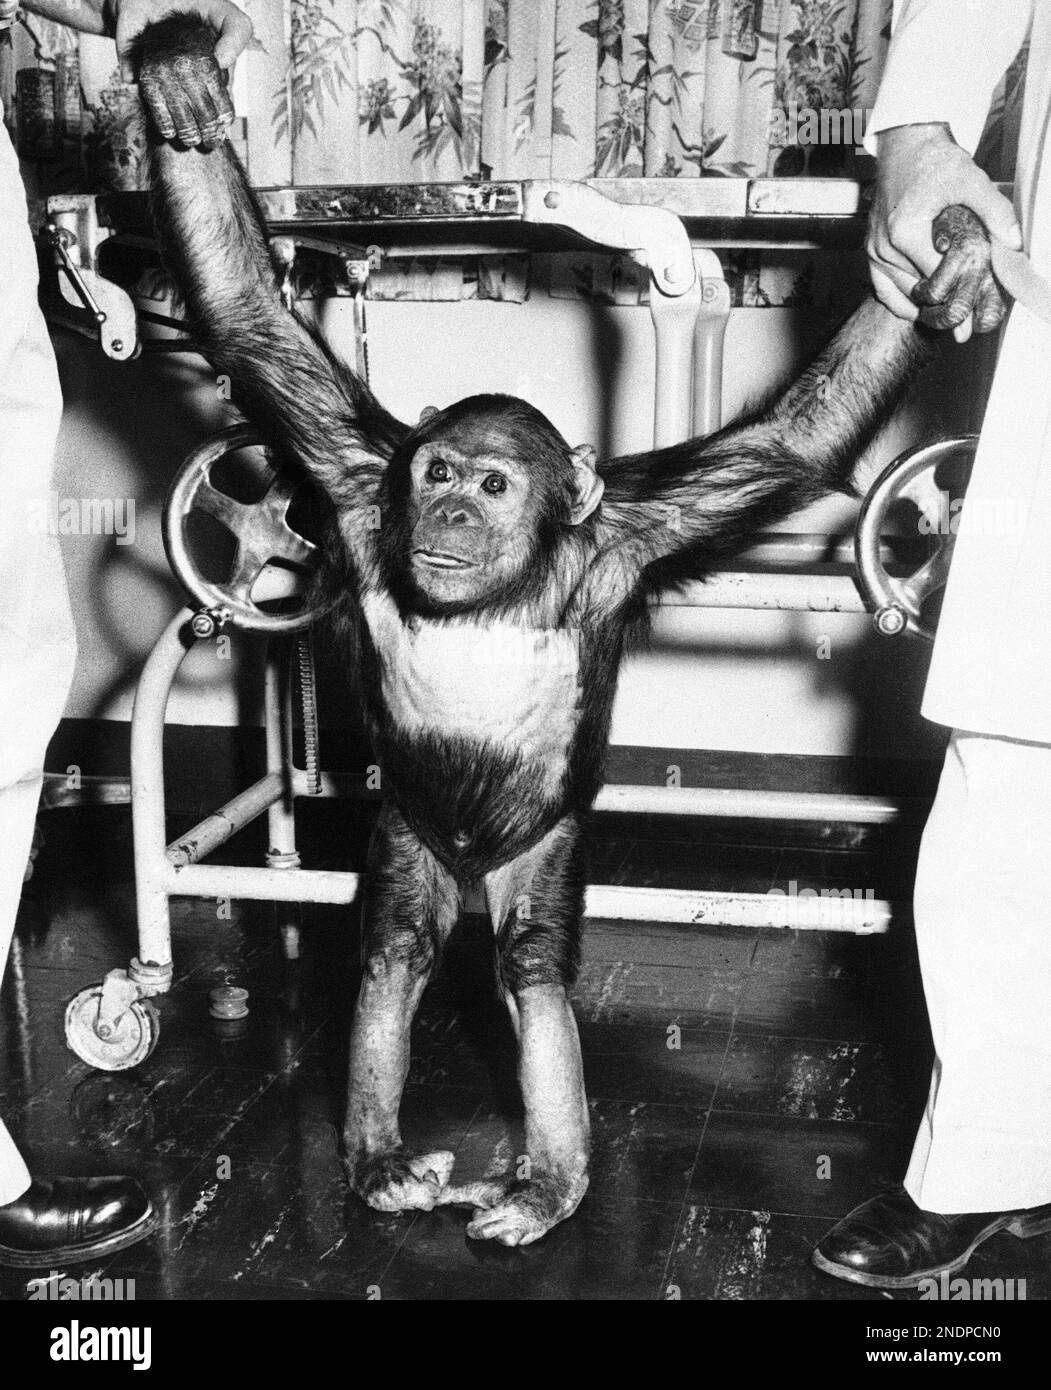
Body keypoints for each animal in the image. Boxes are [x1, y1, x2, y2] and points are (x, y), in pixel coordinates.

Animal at [133, 17, 1004, 1245]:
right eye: (439, 472)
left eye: (494, 484)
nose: (449, 512)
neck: (505, 581)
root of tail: (468, 872)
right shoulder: (352, 482)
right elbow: (252, 321)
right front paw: (172, 68)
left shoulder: (638, 534)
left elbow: (794, 436)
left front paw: (938, 243)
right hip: (406, 838)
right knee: (394, 947)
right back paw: (379, 1154)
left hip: (535, 856)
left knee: (532, 962)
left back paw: (548, 1178)